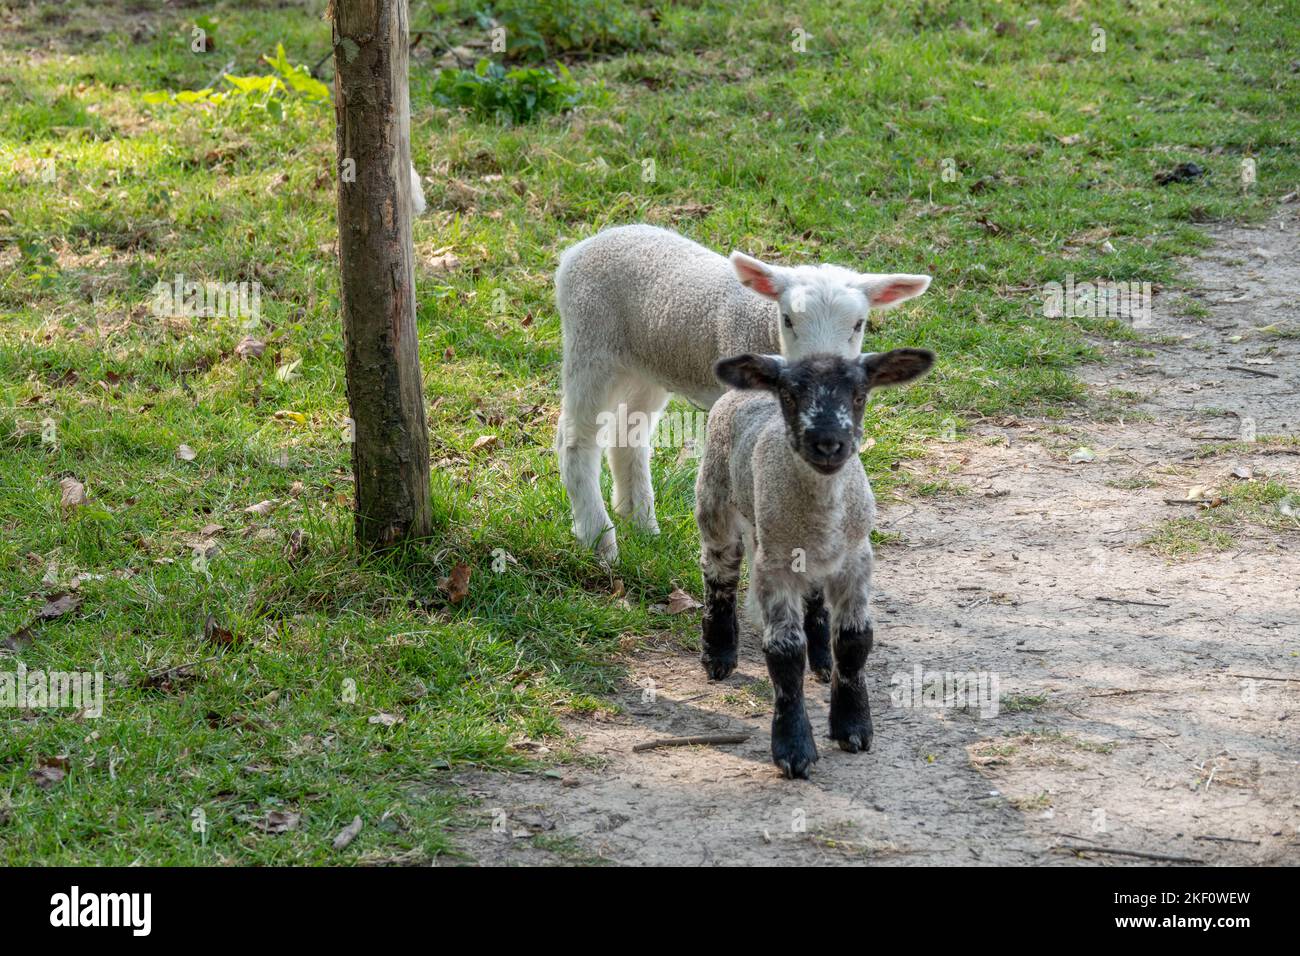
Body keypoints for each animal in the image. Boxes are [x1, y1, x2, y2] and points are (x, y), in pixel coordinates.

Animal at [554, 223, 931, 566]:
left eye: (858, 324)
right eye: (788, 319)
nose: (825, 372)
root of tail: (585, 244)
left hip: (647, 364)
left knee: (629, 434)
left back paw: (640, 522)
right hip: (591, 343)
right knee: (576, 439)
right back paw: (599, 540)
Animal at [694, 347, 934, 778]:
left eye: (860, 395)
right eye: (790, 396)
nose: (828, 442)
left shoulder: (857, 558)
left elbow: (855, 640)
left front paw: (853, 727)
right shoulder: (773, 565)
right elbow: (785, 652)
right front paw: (794, 748)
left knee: (815, 595)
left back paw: (822, 660)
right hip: (716, 494)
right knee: (719, 572)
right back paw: (718, 655)